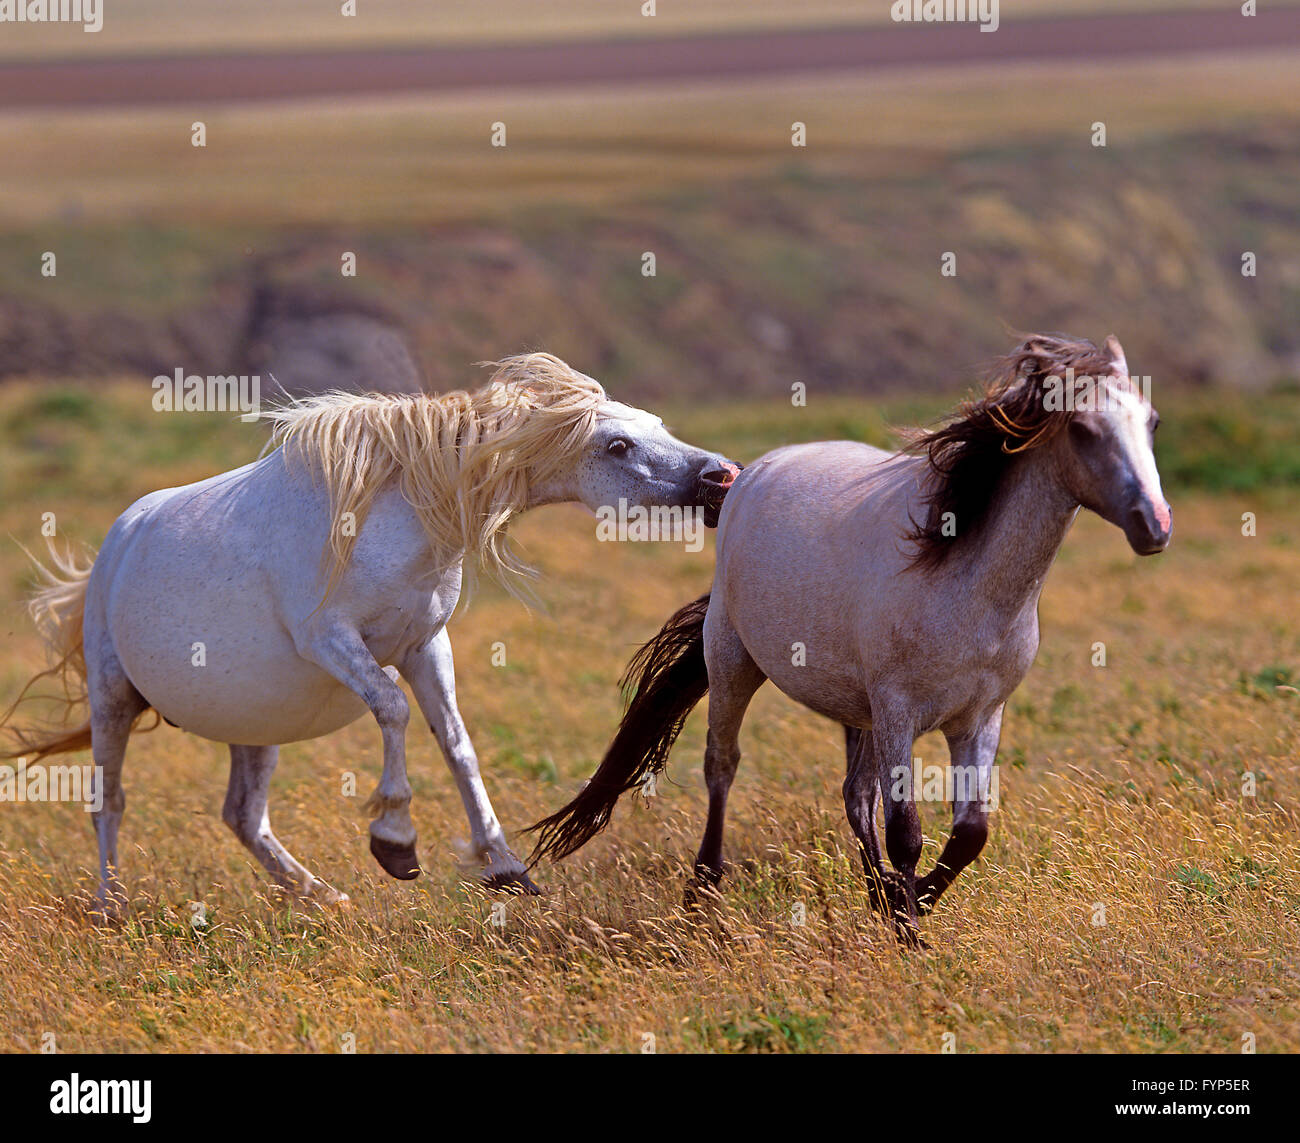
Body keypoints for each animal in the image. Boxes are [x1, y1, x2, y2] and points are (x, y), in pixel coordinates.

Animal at [1, 353, 738, 916]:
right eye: (617, 444)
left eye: (656, 425)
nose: (721, 475)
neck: (395, 509)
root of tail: (116, 545)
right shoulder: (333, 642)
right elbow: (392, 709)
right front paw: (395, 840)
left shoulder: (424, 646)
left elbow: (457, 745)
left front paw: (504, 866)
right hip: (113, 700)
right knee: (109, 802)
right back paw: (111, 907)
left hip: (253, 723)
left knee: (244, 816)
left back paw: (319, 895)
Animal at [529, 334, 1172, 943]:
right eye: (1084, 430)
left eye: (1153, 422)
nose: (1155, 526)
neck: (961, 579)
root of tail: (744, 477)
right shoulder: (897, 712)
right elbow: (907, 831)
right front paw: (909, 932)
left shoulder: (980, 717)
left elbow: (969, 833)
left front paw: (902, 906)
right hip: (734, 663)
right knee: (723, 765)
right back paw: (703, 890)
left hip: (854, 707)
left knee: (854, 795)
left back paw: (873, 892)